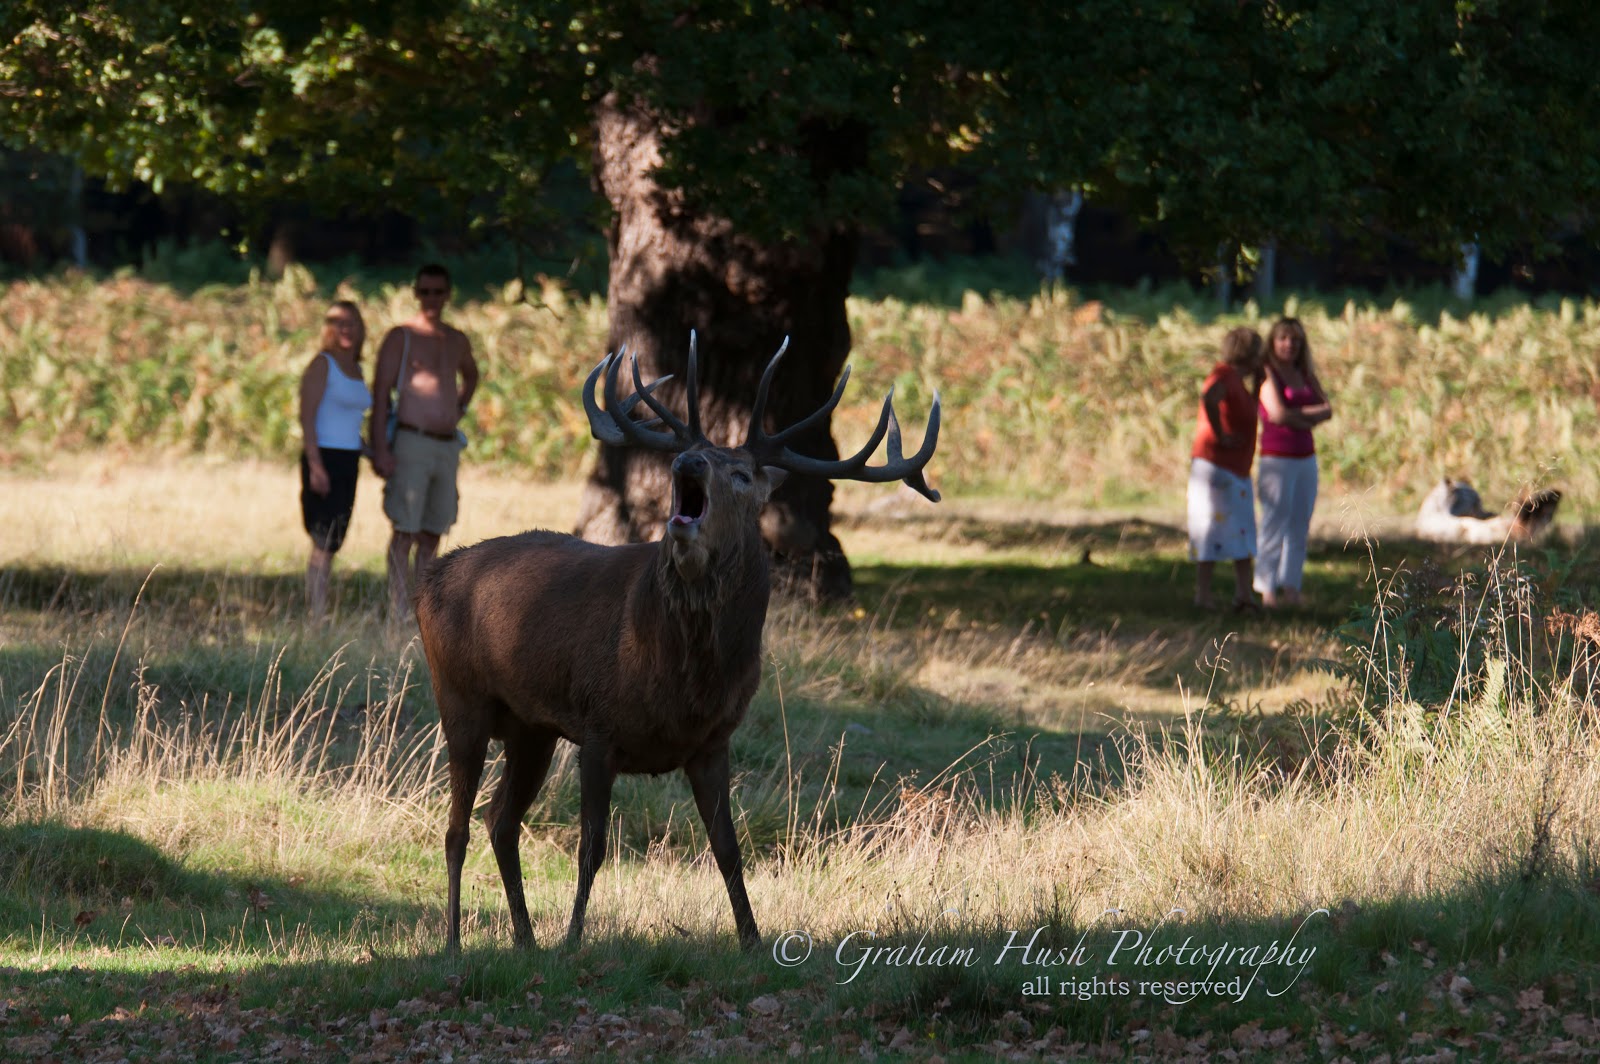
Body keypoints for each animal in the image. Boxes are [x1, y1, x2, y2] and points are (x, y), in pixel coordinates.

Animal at [415, 335, 940, 952]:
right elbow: (592, 848)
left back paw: (524, 940)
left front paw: (752, 941)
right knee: (457, 827)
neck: (673, 673)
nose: (687, 462)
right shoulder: (598, 726)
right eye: (687, 457)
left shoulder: (713, 740)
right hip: (460, 699)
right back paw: (455, 942)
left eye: (742, 474)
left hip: (531, 729)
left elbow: (729, 850)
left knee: (501, 819)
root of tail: (432, 577)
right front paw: (572, 941)